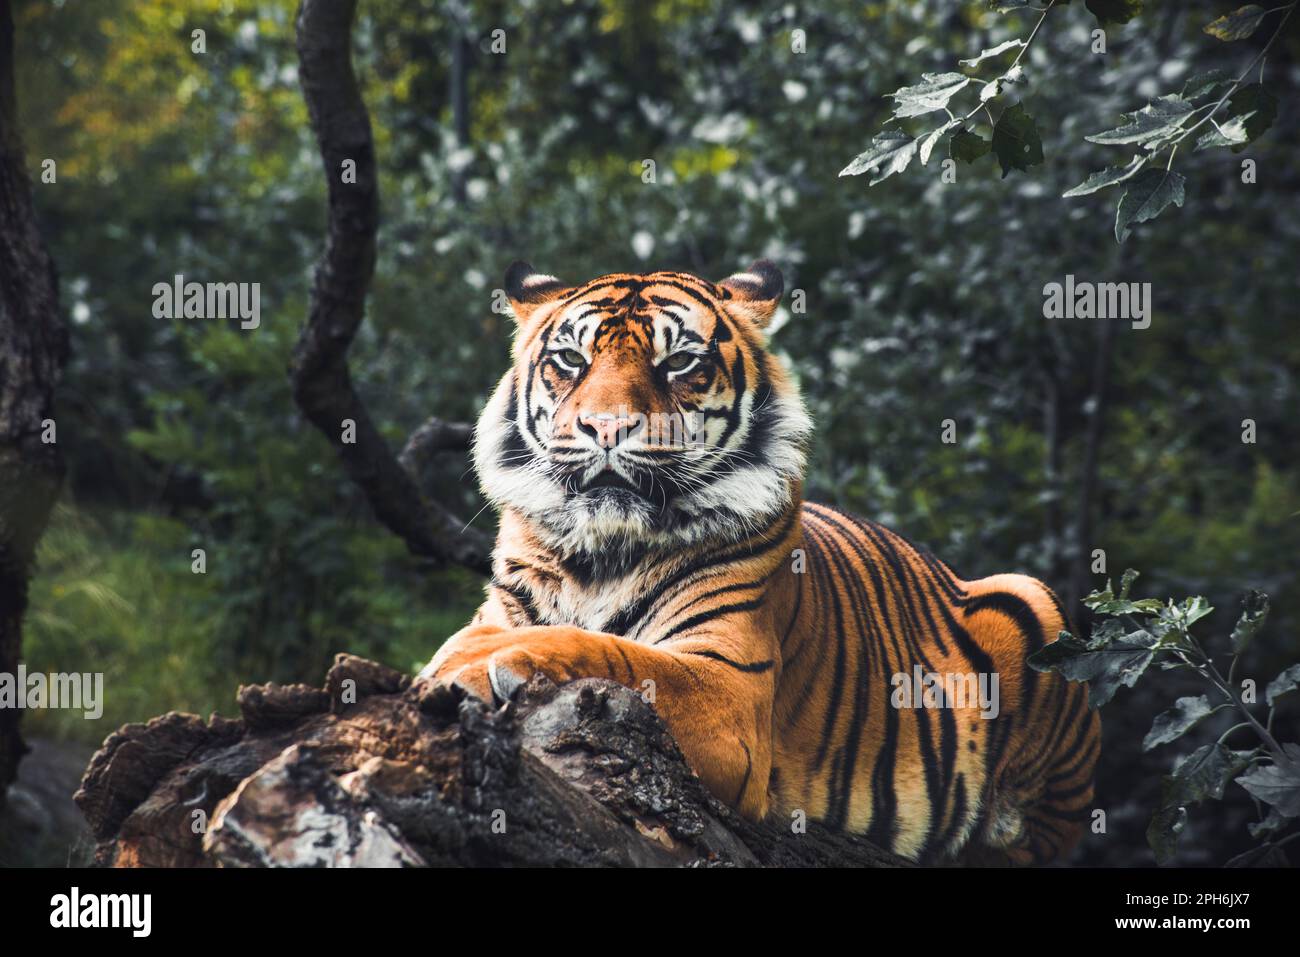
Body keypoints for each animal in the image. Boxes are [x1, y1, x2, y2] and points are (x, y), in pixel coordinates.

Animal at [418, 260, 1101, 865]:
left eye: (678, 363)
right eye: (571, 361)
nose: (606, 428)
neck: (602, 553)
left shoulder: (729, 688)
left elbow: (610, 649)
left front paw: (474, 666)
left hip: (1033, 605)